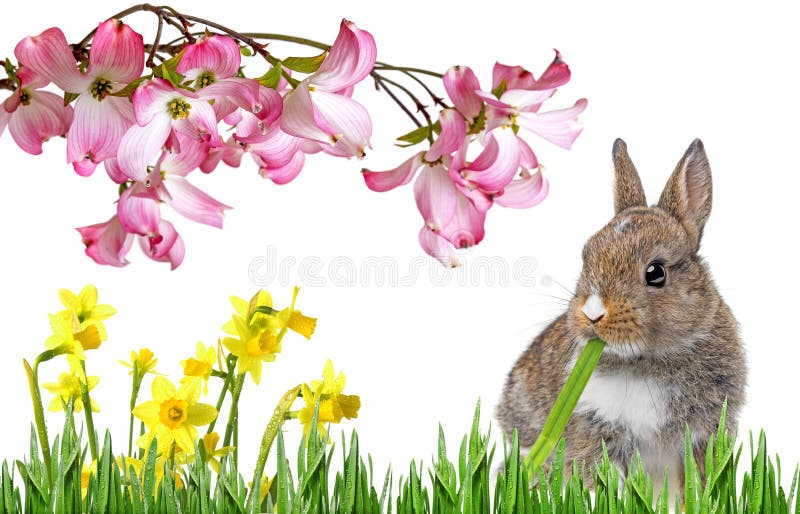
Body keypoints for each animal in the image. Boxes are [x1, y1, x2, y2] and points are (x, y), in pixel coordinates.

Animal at [496, 138, 746, 496]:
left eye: (655, 272)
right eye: (587, 255)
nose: (592, 313)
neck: (650, 360)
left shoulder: (702, 436)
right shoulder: (598, 432)